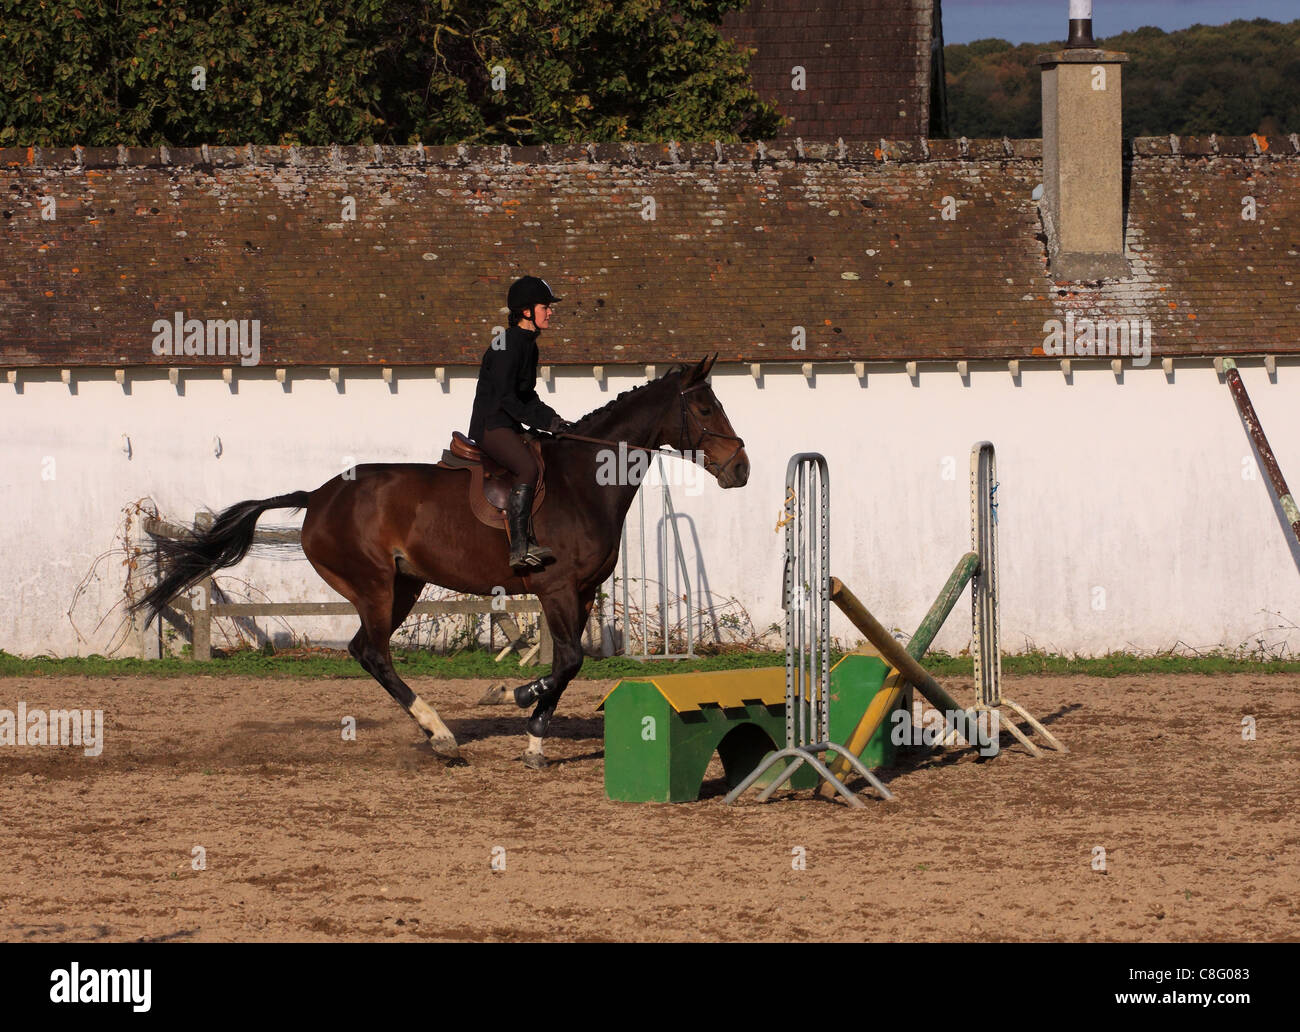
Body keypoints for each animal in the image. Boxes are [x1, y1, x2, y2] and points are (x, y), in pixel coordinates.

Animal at [131, 354, 749, 768]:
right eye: (704, 405)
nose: (740, 469)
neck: (583, 482)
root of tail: (317, 496)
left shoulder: (585, 590)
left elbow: (569, 664)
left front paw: (526, 718)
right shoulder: (556, 588)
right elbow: (570, 661)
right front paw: (520, 708)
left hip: (403, 588)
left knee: (369, 652)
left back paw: (439, 732)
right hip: (376, 586)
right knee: (371, 653)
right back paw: (443, 736)